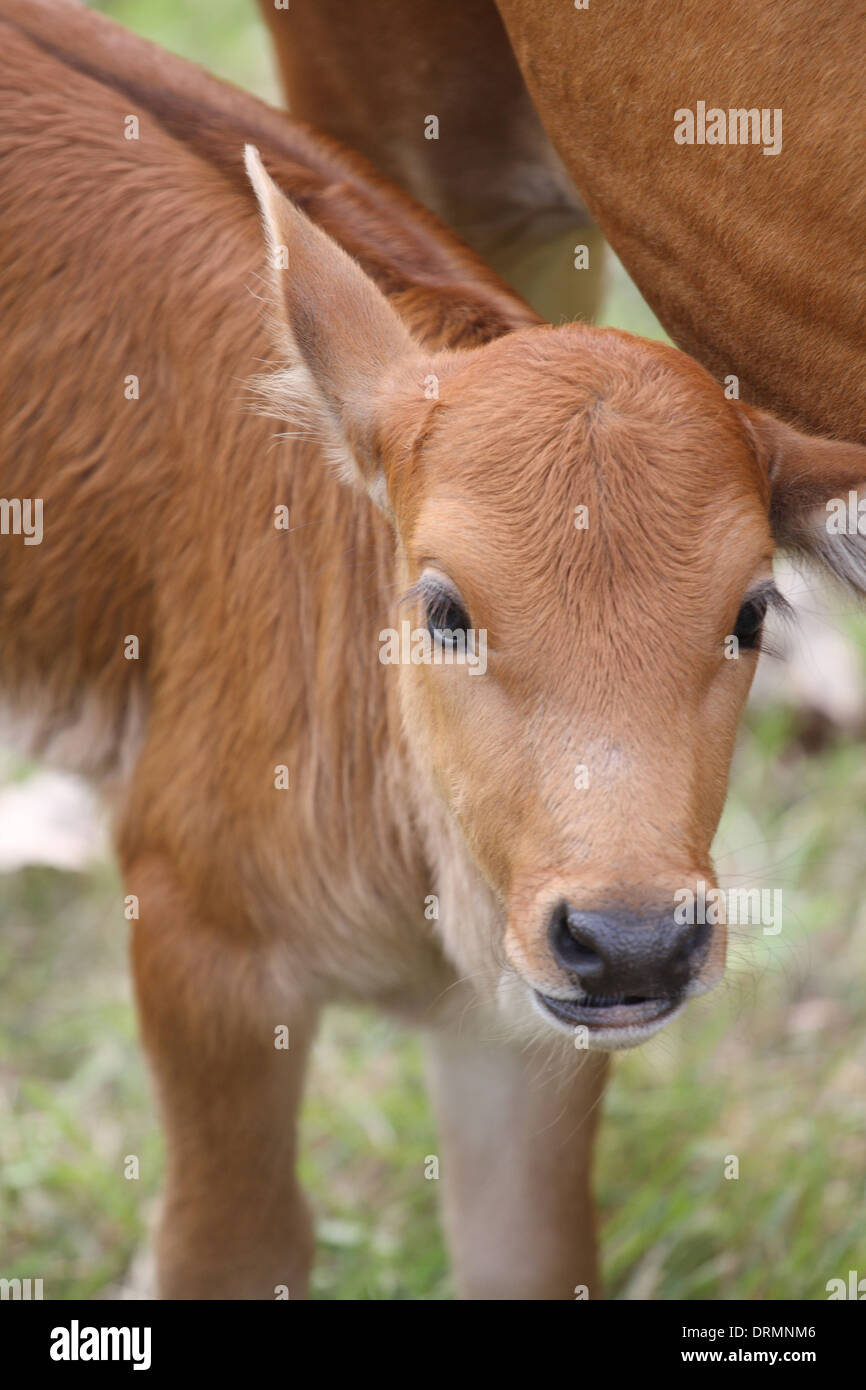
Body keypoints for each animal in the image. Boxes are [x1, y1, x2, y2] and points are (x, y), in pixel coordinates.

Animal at [5, 2, 866, 1301]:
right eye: (444, 605)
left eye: (753, 610)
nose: (629, 941)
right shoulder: (194, 930)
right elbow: (234, 1248)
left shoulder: (520, 1027)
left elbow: (530, 1257)